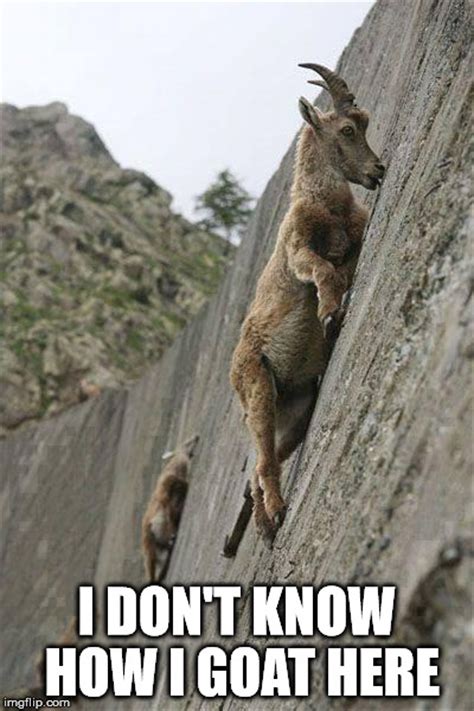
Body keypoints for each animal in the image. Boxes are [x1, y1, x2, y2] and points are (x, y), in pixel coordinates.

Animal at [230, 63, 385, 544]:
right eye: (348, 129)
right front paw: (330, 314)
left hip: (297, 407)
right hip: (259, 389)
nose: (378, 170)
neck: (322, 204)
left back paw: (263, 521)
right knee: (263, 462)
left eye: (365, 123)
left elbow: (344, 267)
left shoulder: (354, 237)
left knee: (262, 467)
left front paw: (332, 313)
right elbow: (323, 272)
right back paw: (276, 515)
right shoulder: (298, 252)